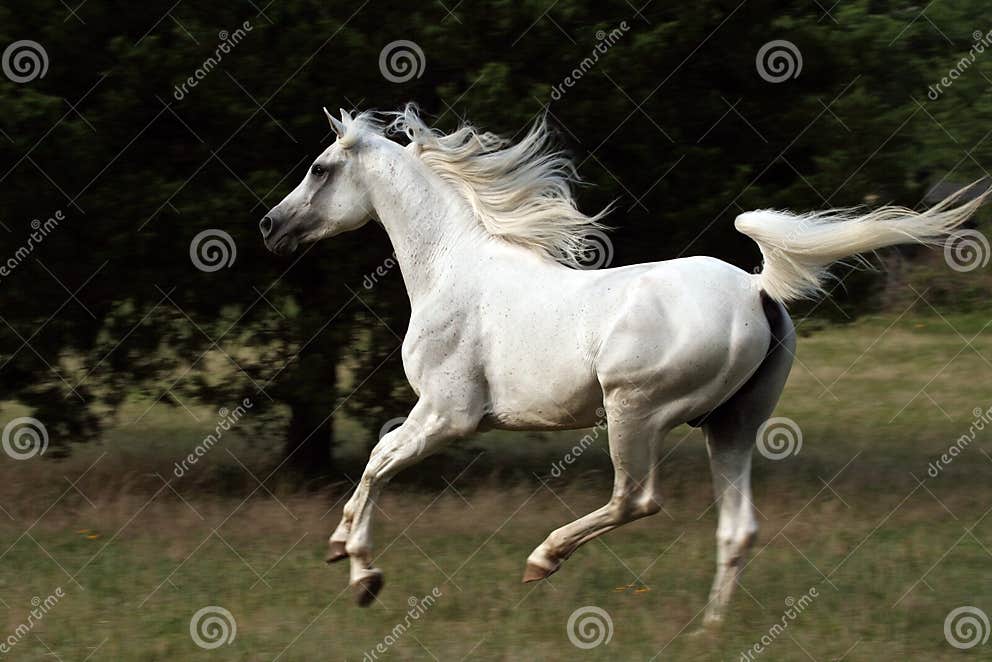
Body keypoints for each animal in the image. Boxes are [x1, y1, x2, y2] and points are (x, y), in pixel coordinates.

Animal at [259, 105, 986, 625]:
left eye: (320, 169)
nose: (270, 226)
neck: (452, 270)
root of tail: (758, 290)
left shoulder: (450, 414)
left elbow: (378, 462)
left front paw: (362, 574)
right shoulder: (433, 413)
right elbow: (376, 461)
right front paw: (341, 548)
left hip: (634, 410)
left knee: (636, 498)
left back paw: (543, 559)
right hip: (734, 425)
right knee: (738, 528)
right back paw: (708, 630)